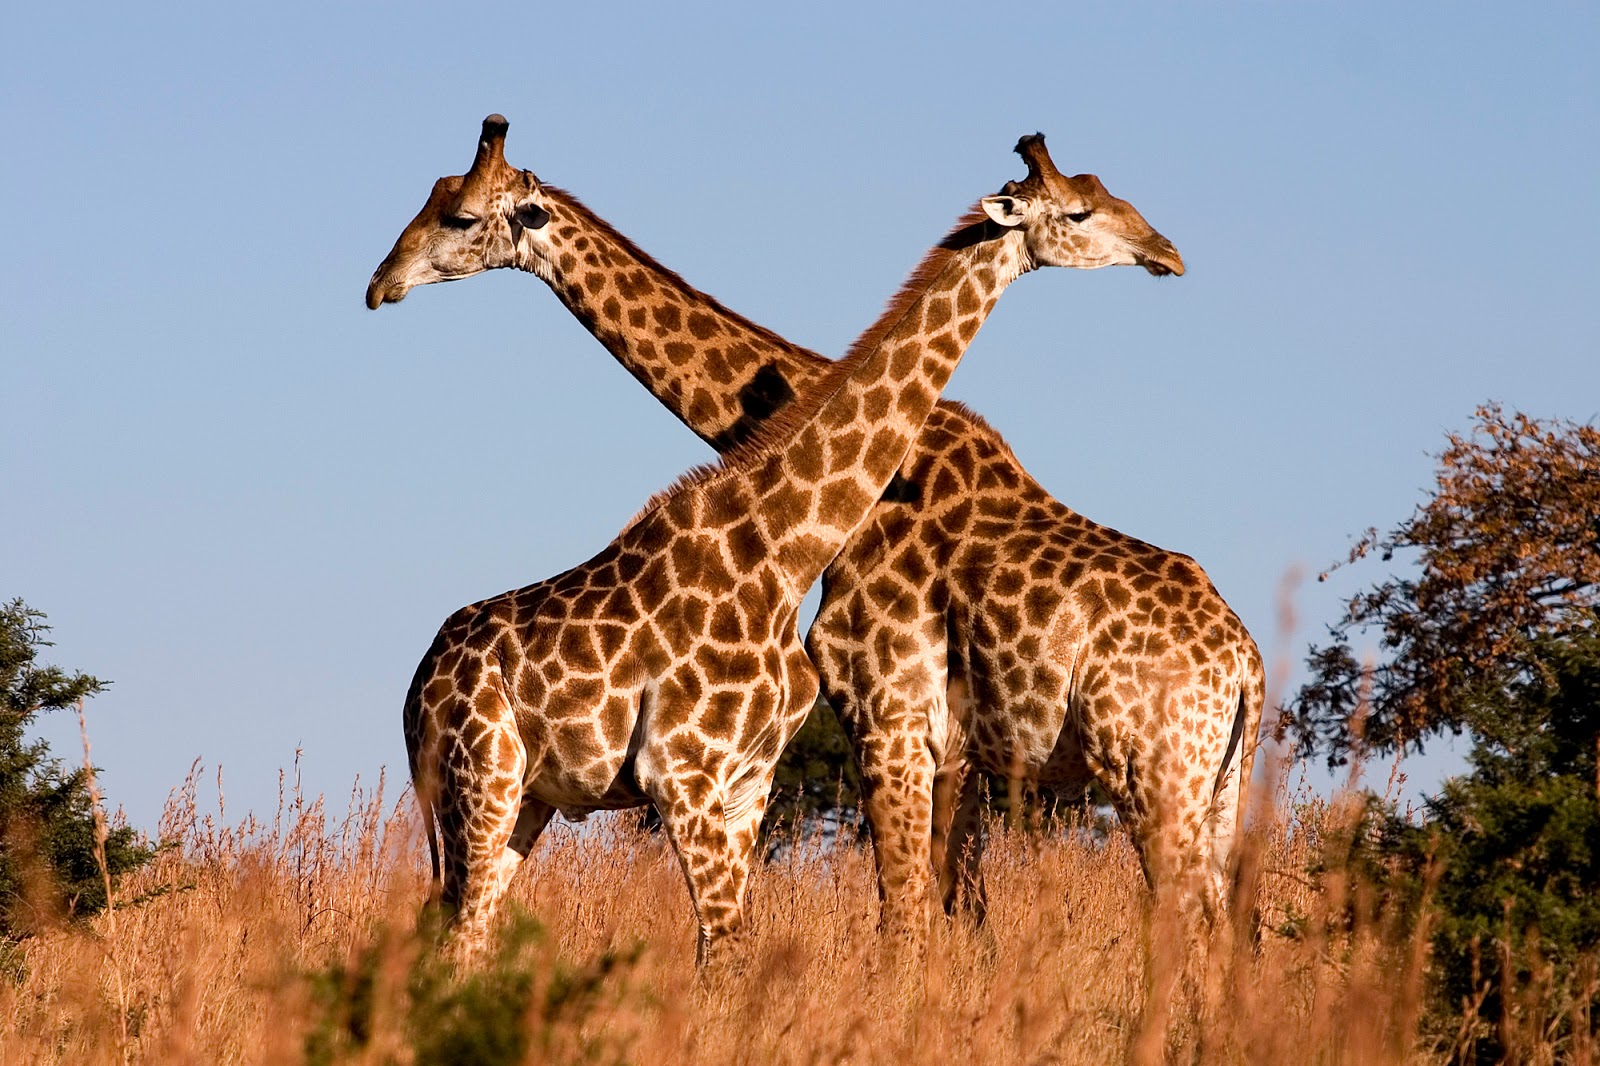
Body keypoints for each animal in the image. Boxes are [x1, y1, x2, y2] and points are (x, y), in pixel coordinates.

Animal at [367, 117, 1258, 951]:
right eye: (1084, 206)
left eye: (456, 216)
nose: (381, 284)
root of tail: (1246, 664)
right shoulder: (917, 742)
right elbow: (935, 921)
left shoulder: (886, 721)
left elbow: (912, 920)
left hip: (1161, 773)